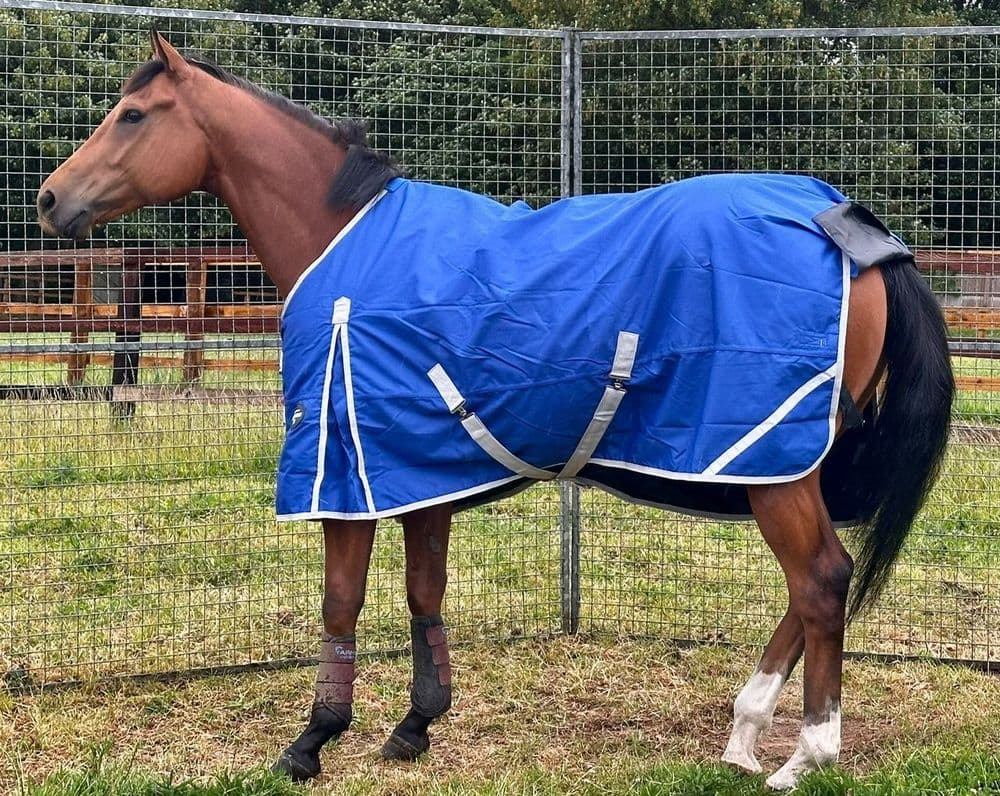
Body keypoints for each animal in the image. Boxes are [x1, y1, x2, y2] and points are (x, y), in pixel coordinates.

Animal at [37, 31, 953, 790]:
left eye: (133, 114)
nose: (49, 200)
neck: (349, 245)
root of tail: (846, 224)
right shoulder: (420, 468)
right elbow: (423, 594)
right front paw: (415, 725)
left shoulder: (348, 468)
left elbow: (342, 602)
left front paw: (312, 740)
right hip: (788, 463)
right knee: (812, 589)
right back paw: (743, 735)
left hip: (766, 460)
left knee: (821, 580)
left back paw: (805, 755)